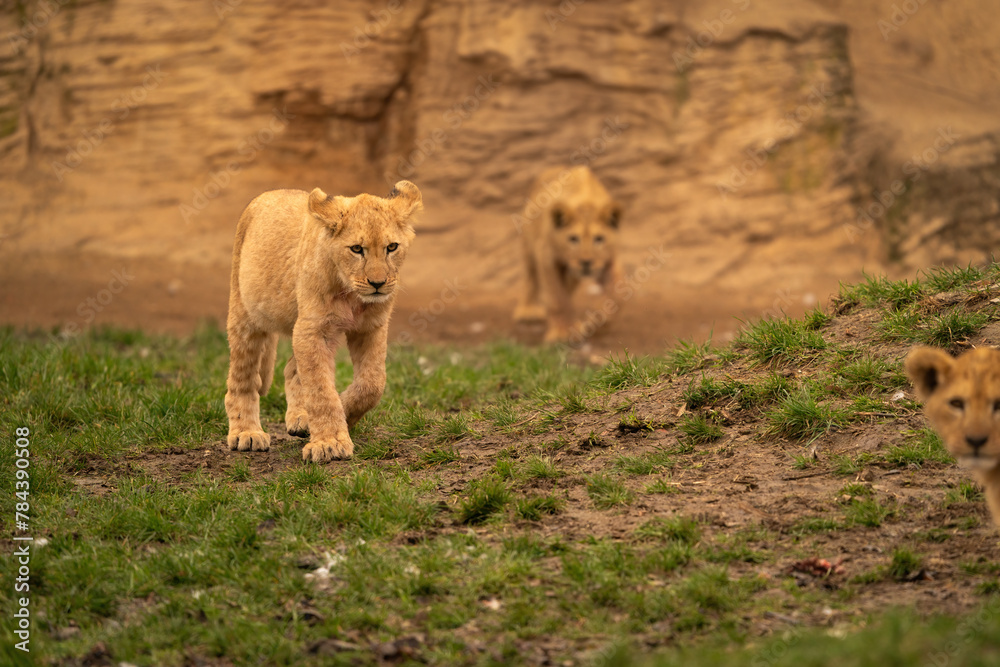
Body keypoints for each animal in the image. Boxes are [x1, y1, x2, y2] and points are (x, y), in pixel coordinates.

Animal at [224, 181, 421, 462]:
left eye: (392, 247)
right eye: (357, 249)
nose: (378, 283)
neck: (352, 296)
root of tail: (269, 193)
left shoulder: (371, 327)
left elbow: (372, 384)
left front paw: (337, 416)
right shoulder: (314, 330)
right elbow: (321, 390)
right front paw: (329, 442)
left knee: (291, 369)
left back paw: (300, 419)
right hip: (245, 314)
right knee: (243, 378)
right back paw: (246, 433)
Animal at [513, 165, 623, 343]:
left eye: (599, 239)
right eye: (573, 239)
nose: (586, 262)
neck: (586, 202)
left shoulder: (610, 259)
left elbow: (617, 294)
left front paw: (598, 320)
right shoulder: (546, 256)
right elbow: (557, 299)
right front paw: (559, 334)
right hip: (529, 246)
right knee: (531, 277)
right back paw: (527, 311)